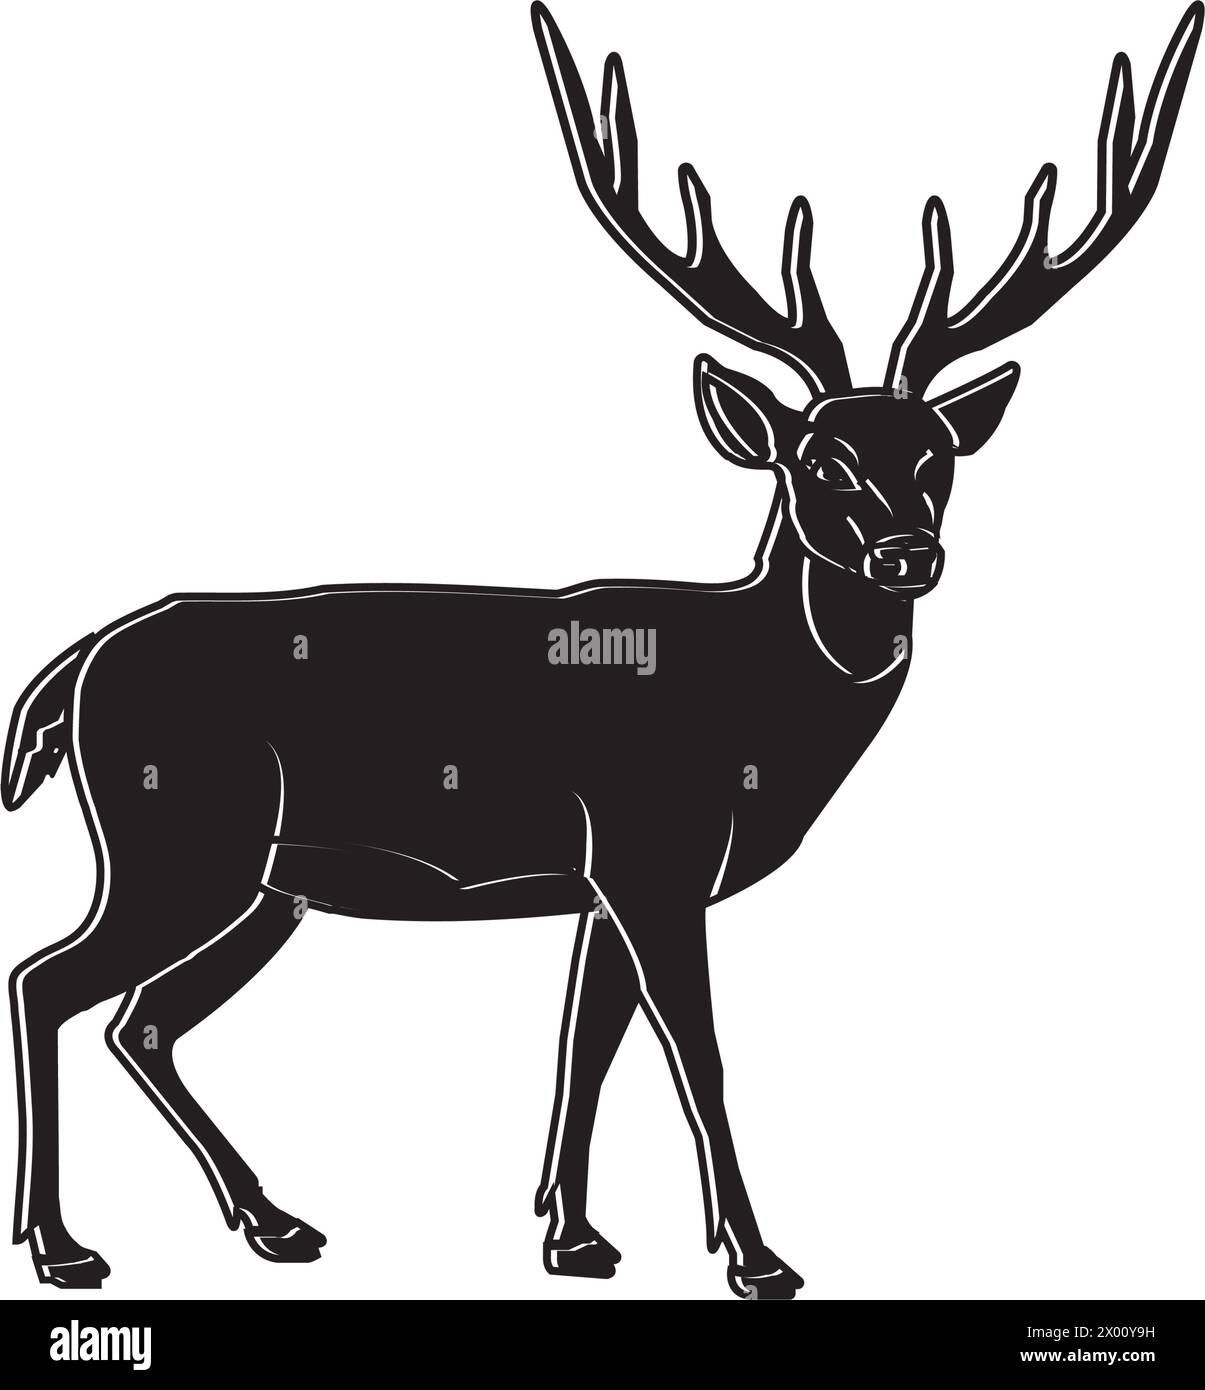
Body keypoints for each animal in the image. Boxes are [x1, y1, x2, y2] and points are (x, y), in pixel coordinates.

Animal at [3, 2, 1200, 1299]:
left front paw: (570, 1234)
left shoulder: (603, 882)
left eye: (936, 456)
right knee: (50, 980)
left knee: (141, 1017)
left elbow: (585, 1043)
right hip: (177, 837)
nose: (905, 555)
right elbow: (697, 1050)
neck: (756, 718)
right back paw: (66, 1245)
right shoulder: (649, 847)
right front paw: (757, 1256)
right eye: (817, 461)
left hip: (268, 882)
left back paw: (274, 1221)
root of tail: (70, 671)